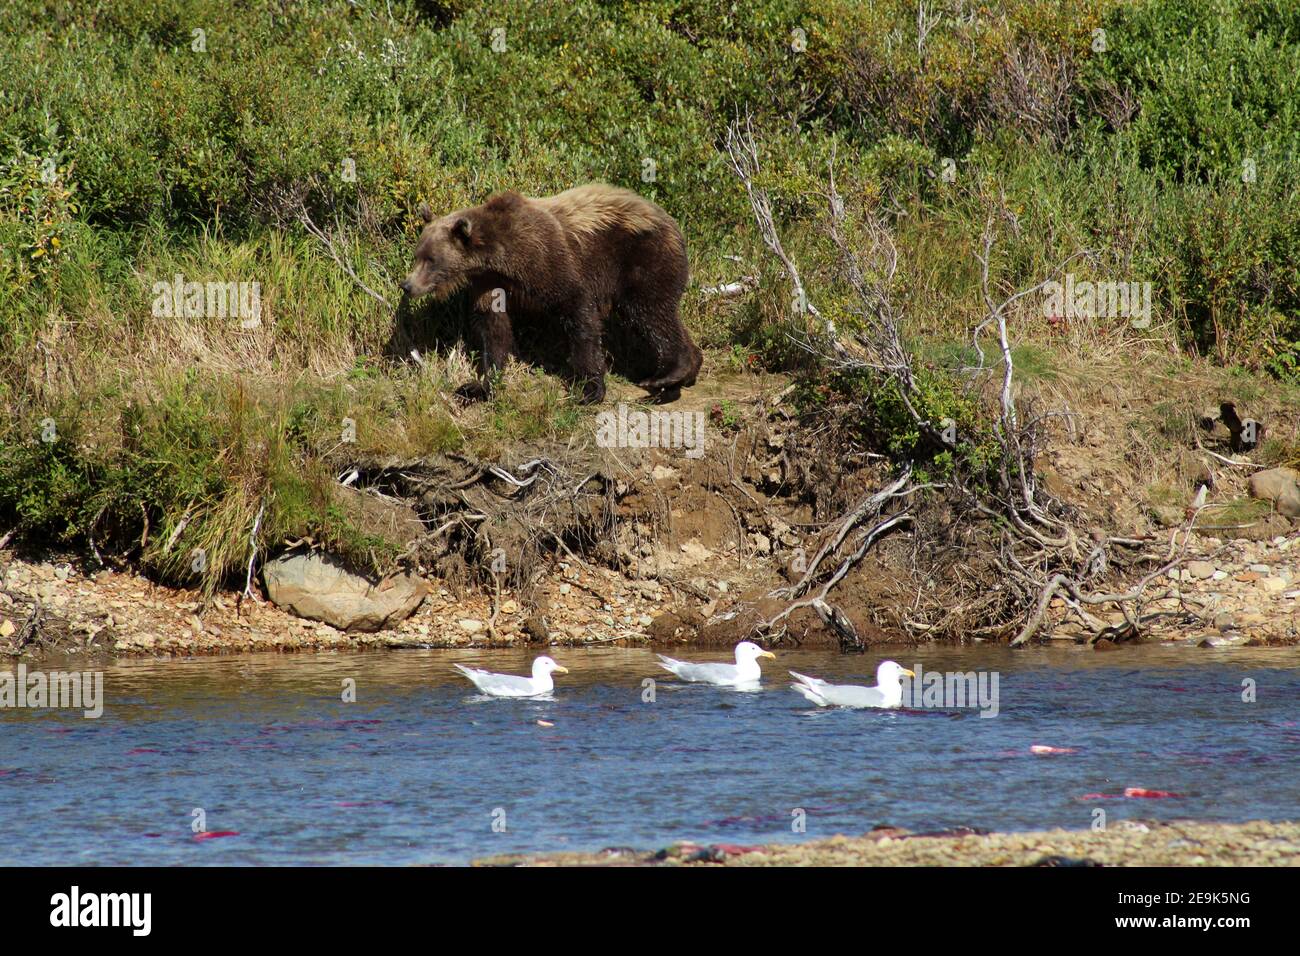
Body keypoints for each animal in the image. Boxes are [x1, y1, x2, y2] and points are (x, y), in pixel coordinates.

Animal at [400, 183, 702, 404]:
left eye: (431, 260)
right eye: (417, 255)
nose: (407, 285)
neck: (499, 256)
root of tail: (673, 223)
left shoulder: (543, 257)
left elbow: (577, 308)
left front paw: (589, 389)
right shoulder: (489, 282)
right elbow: (494, 328)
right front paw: (479, 386)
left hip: (643, 258)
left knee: (650, 312)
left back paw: (667, 375)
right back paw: (681, 376)